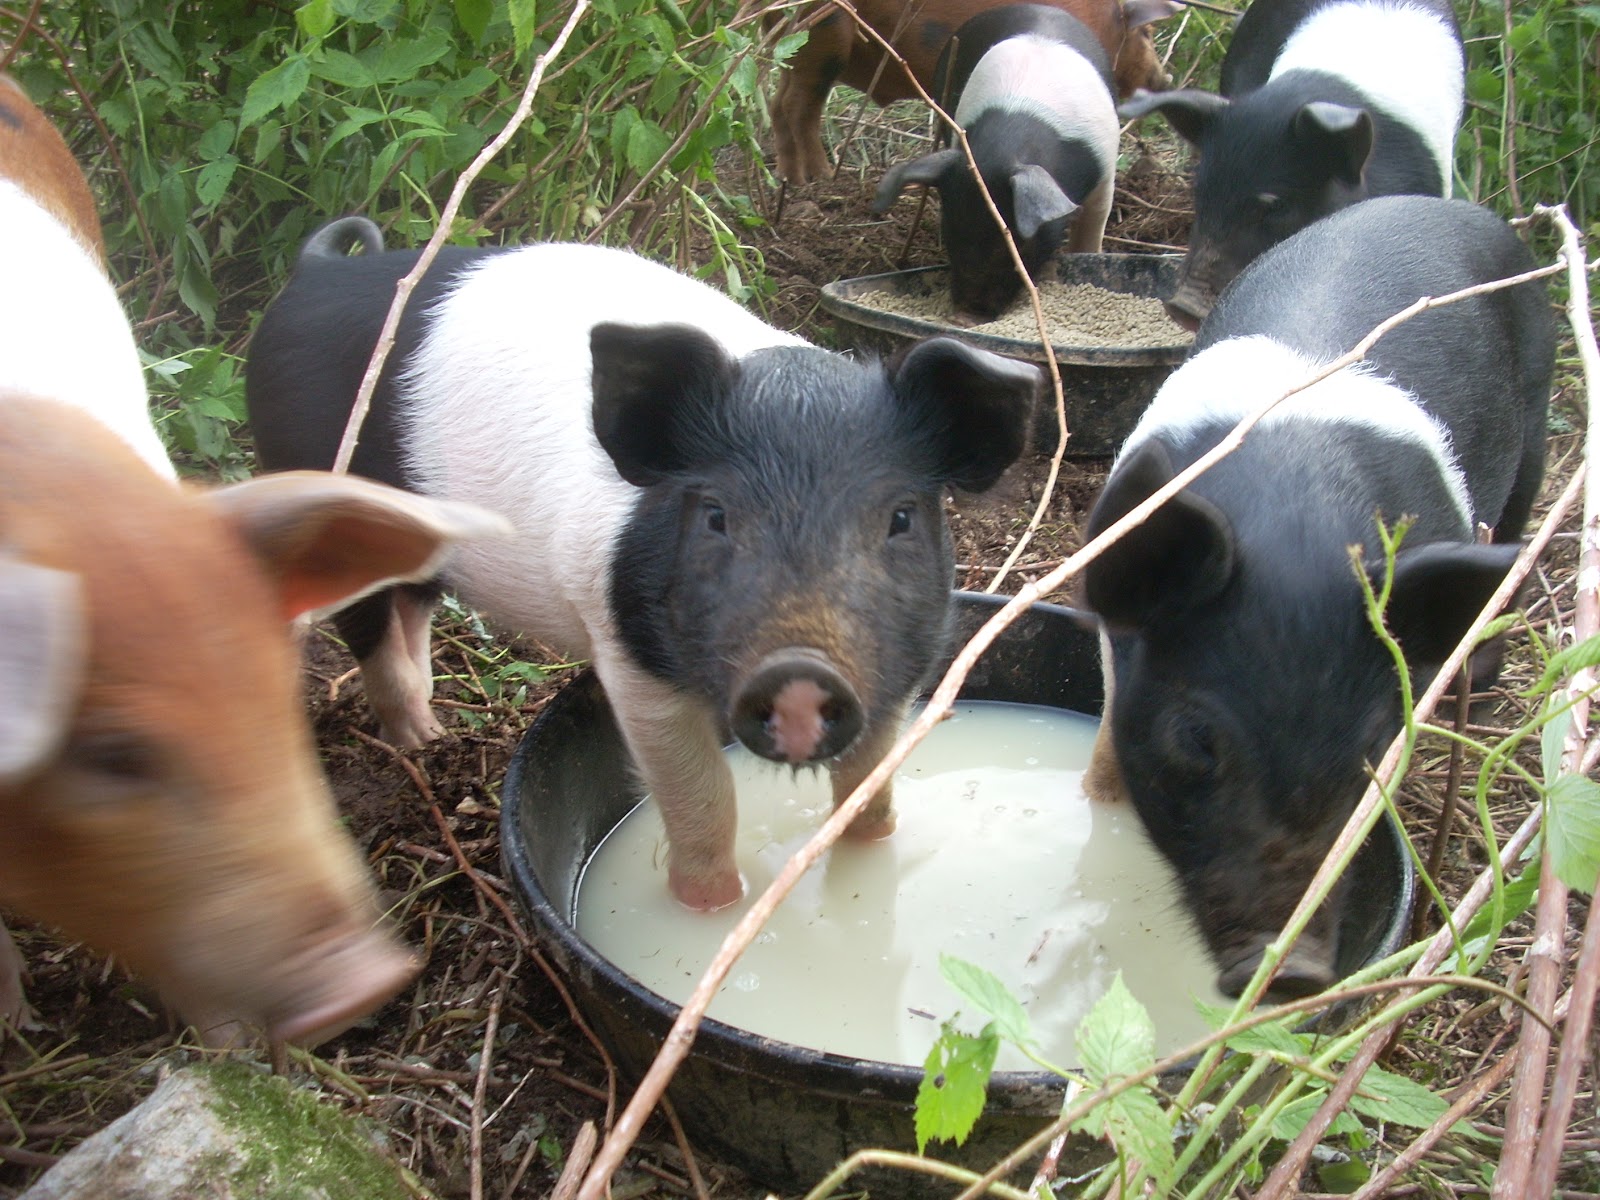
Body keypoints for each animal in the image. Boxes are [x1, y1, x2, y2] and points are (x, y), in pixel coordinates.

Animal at [0, 72, 507, 1043]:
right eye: (112, 753)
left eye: (275, 702)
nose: (367, 981)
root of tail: (318, 267)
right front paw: (14, 1017)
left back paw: (431, 739)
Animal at [244, 221, 1040, 912]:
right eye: (715, 513)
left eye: (900, 517)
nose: (800, 673)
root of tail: (312, 272)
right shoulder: (630, 657)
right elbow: (703, 800)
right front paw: (711, 912)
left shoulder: (900, 666)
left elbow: (867, 793)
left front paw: (872, 861)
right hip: (320, 488)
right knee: (370, 628)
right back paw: (417, 742)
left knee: (411, 606)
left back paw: (435, 736)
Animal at [771, 0, 1178, 183]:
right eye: (1147, 34)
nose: (1165, 79)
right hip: (825, 34)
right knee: (798, 106)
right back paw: (821, 179)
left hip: (795, 46)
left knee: (779, 104)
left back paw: (790, 179)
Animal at [1079, 195, 1553, 1001]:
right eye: (1196, 738)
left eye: (1373, 744)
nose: (1292, 970)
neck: (1299, 509)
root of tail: (1454, 206)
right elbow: (1108, 743)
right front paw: (1097, 800)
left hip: (1539, 425)